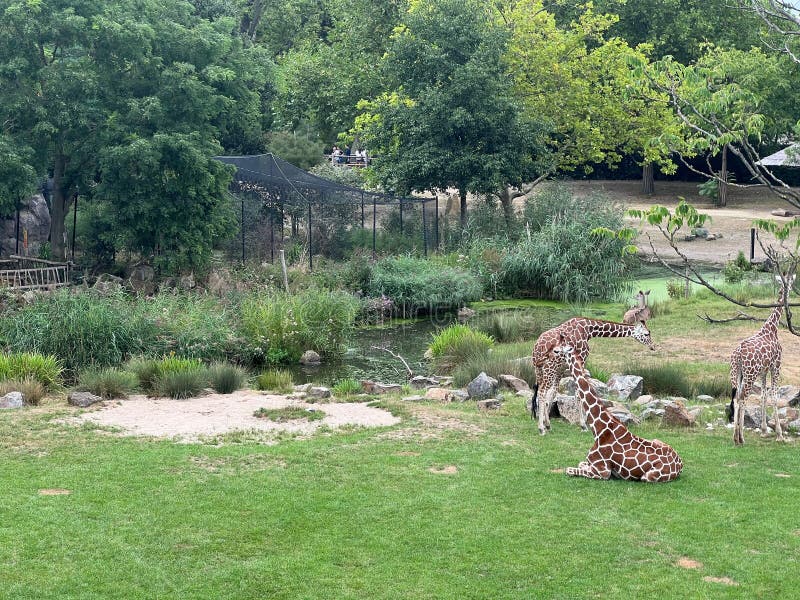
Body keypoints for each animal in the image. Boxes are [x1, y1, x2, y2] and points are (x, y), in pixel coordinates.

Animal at [553, 335, 683, 482]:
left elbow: (569, 470)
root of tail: (681, 466)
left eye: (561, 348)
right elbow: (581, 463)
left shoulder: (603, 472)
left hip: (647, 476)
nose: (553, 351)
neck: (599, 429)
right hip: (657, 440)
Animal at [728, 276, 792, 446]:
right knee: (743, 398)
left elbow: (763, 395)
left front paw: (764, 431)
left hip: (736, 373)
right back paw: (740, 438)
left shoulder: (764, 370)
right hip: (750, 375)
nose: (790, 288)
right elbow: (774, 396)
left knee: (736, 398)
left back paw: (736, 437)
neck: (772, 328)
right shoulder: (776, 365)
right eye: (789, 282)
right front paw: (779, 435)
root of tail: (738, 354)